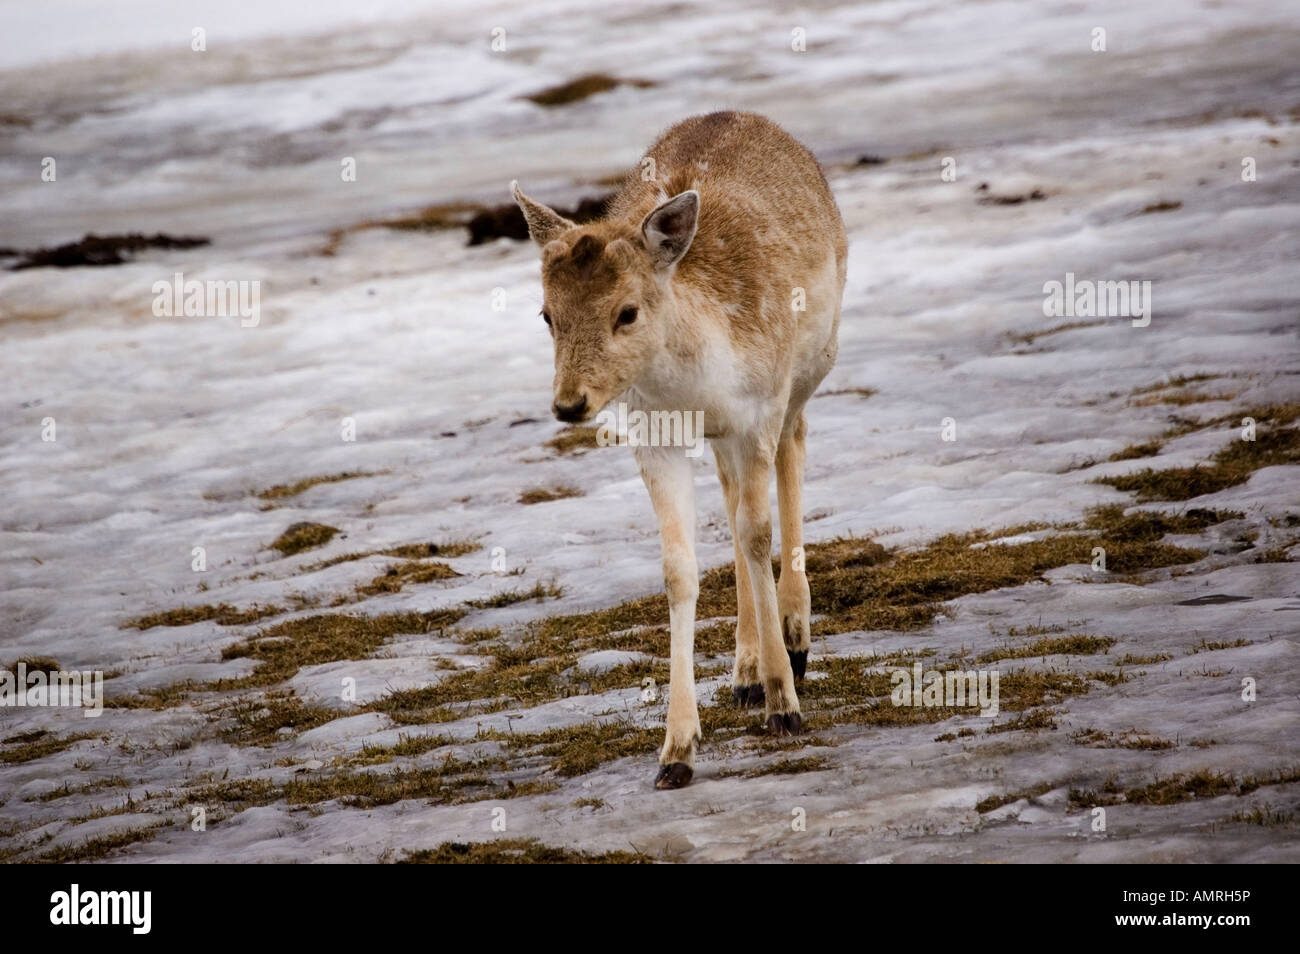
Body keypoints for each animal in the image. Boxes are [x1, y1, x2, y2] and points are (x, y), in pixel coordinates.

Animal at [512, 110, 847, 789]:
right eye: (546, 315)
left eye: (627, 312)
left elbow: (757, 534)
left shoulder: (759, 411)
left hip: (807, 374)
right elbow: (678, 568)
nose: (568, 404)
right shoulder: (655, 436)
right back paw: (745, 673)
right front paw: (676, 751)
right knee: (731, 492)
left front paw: (785, 705)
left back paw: (795, 641)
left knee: (792, 455)